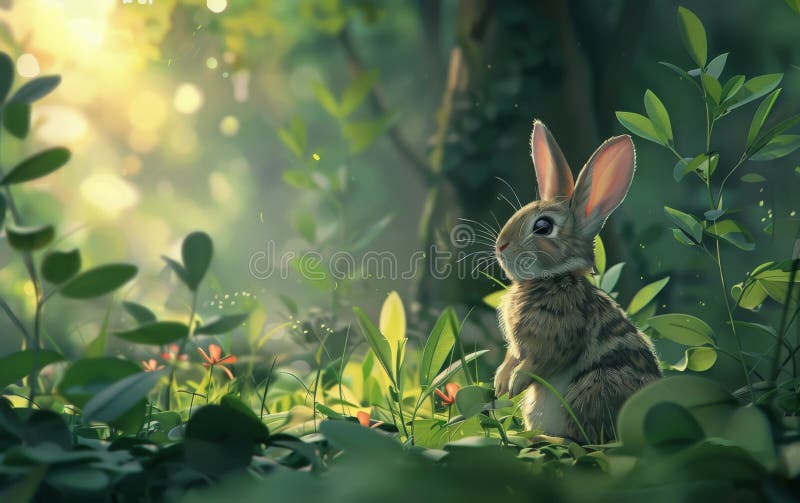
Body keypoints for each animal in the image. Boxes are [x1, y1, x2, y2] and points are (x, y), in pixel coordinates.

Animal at [493, 120, 661, 443]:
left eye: (543, 226)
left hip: (596, 385)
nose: (501, 246)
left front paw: (515, 383)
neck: (552, 278)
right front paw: (500, 383)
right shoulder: (517, 347)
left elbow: (539, 361)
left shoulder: (556, 339)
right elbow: (511, 356)